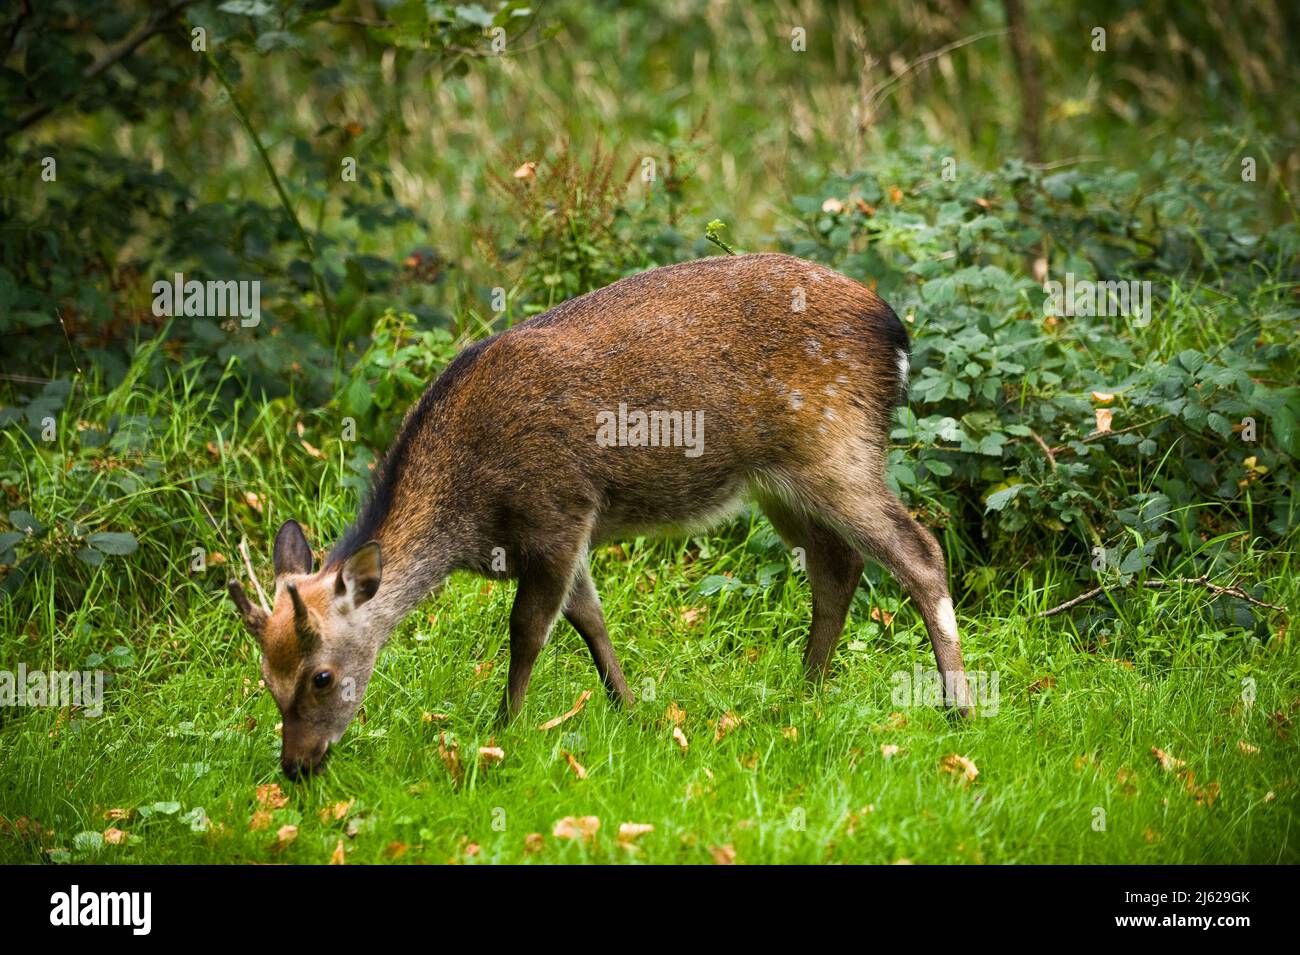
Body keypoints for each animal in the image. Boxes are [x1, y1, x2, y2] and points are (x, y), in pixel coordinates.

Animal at [228, 253, 972, 779]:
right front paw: (634, 714)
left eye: (322, 676)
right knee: (836, 564)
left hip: (836, 449)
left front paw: (503, 731)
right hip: (781, 482)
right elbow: (590, 620)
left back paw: (958, 709)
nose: (295, 767)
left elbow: (529, 630)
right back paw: (805, 694)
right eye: (266, 679)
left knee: (919, 552)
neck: (470, 515)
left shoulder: (556, 511)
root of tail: (894, 329)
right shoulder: (565, 534)